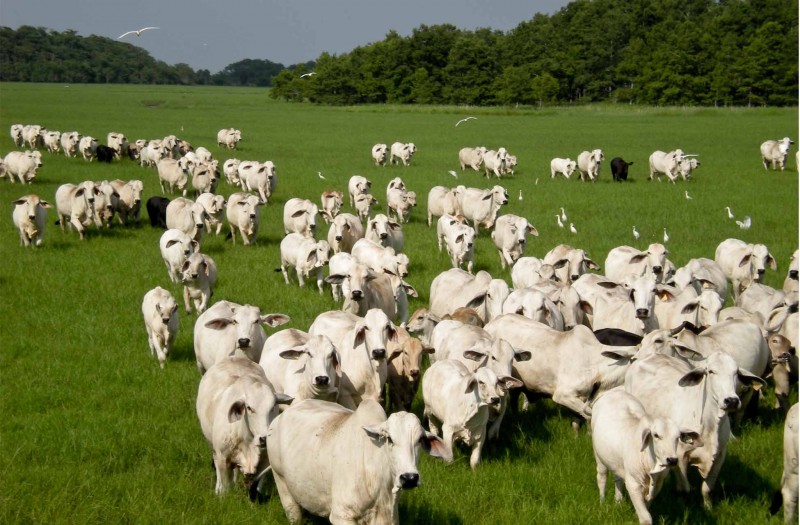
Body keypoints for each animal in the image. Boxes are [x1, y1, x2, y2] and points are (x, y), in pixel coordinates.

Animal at [196, 357, 289, 495]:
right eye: (249, 408)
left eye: (273, 407)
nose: (264, 439)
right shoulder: (223, 458)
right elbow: (225, 487)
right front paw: (221, 493)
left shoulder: (266, 463)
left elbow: (257, 487)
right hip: (214, 447)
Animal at [591, 388, 702, 525]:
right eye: (656, 435)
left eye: (678, 437)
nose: (672, 460)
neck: (651, 464)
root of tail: (615, 391)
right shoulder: (633, 484)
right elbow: (646, 518)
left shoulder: (658, 485)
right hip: (598, 456)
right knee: (602, 478)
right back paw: (602, 503)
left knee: (618, 478)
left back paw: (618, 501)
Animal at [624, 352, 766, 509]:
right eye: (711, 371)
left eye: (736, 372)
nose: (731, 400)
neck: (710, 426)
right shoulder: (680, 457)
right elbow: (685, 489)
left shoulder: (720, 456)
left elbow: (707, 489)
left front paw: (708, 507)